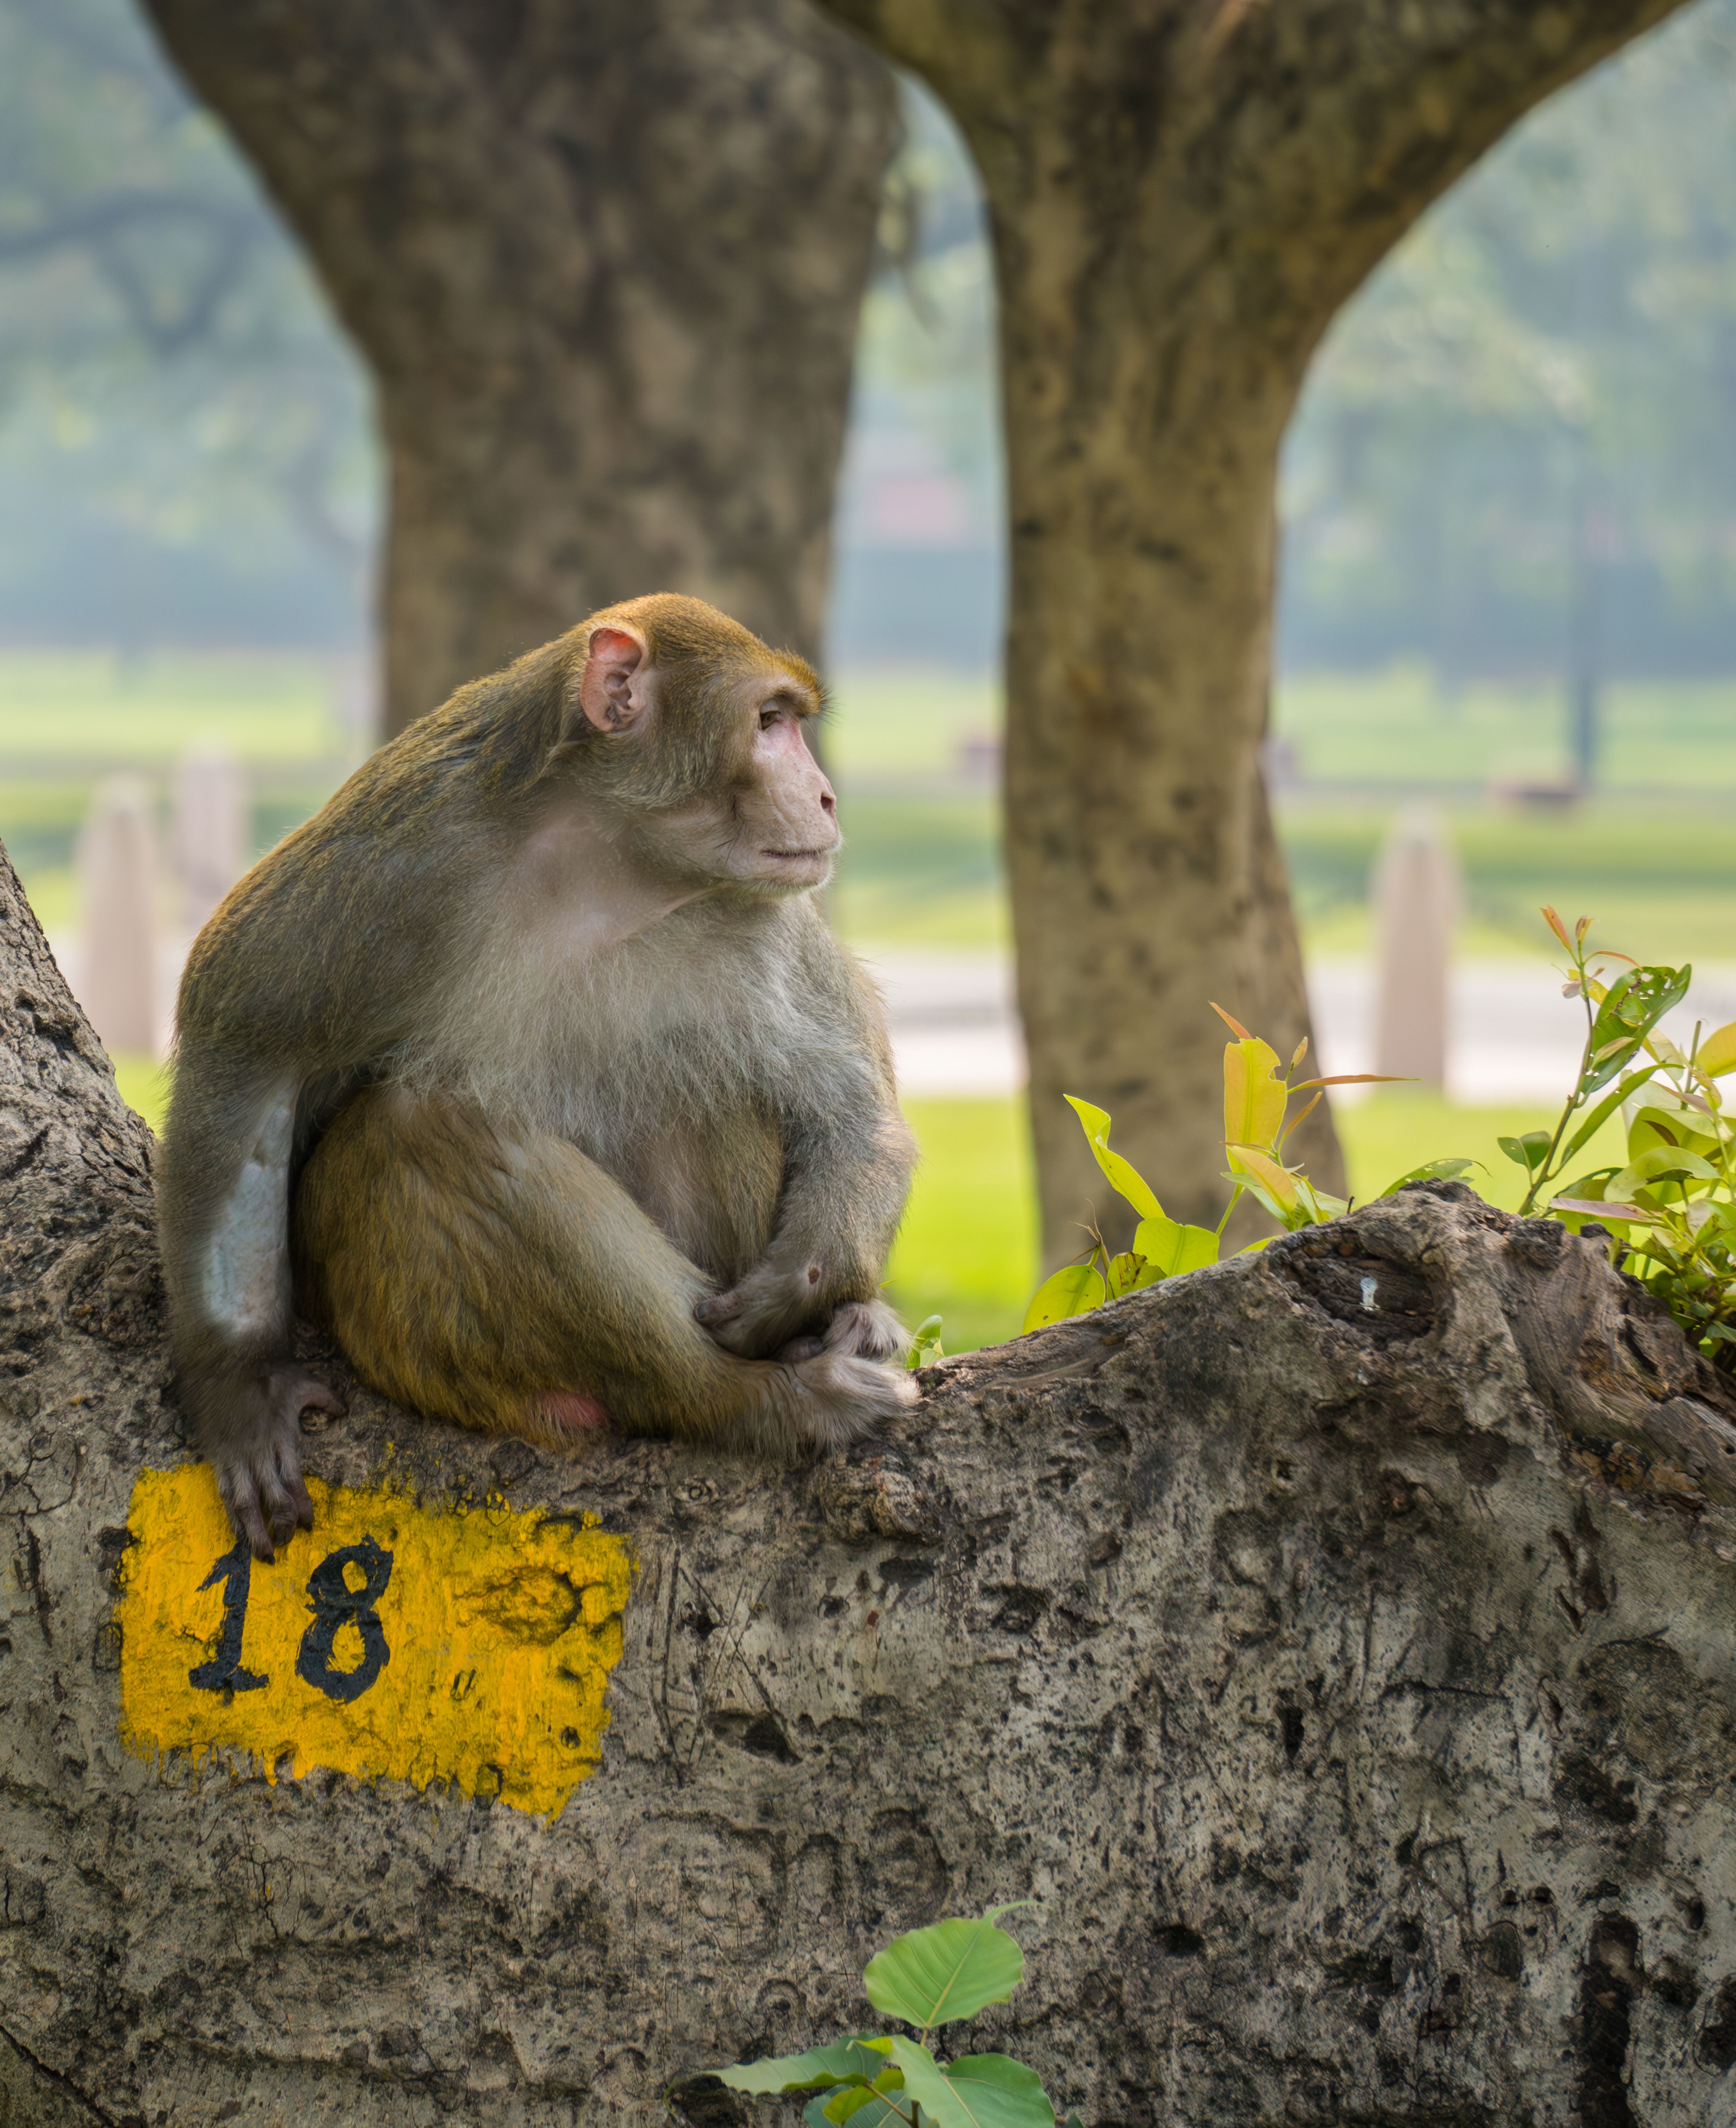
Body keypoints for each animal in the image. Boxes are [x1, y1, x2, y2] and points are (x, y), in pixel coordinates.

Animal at [157, 594, 920, 1561]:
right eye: (768, 722)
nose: (823, 796)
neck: (611, 864)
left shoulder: (763, 918)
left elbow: (853, 1106)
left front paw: (812, 1281)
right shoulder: (400, 858)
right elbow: (247, 1035)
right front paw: (240, 1380)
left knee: (714, 1082)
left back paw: (828, 1334)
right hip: (429, 1354)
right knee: (418, 1128)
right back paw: (743, 1398)